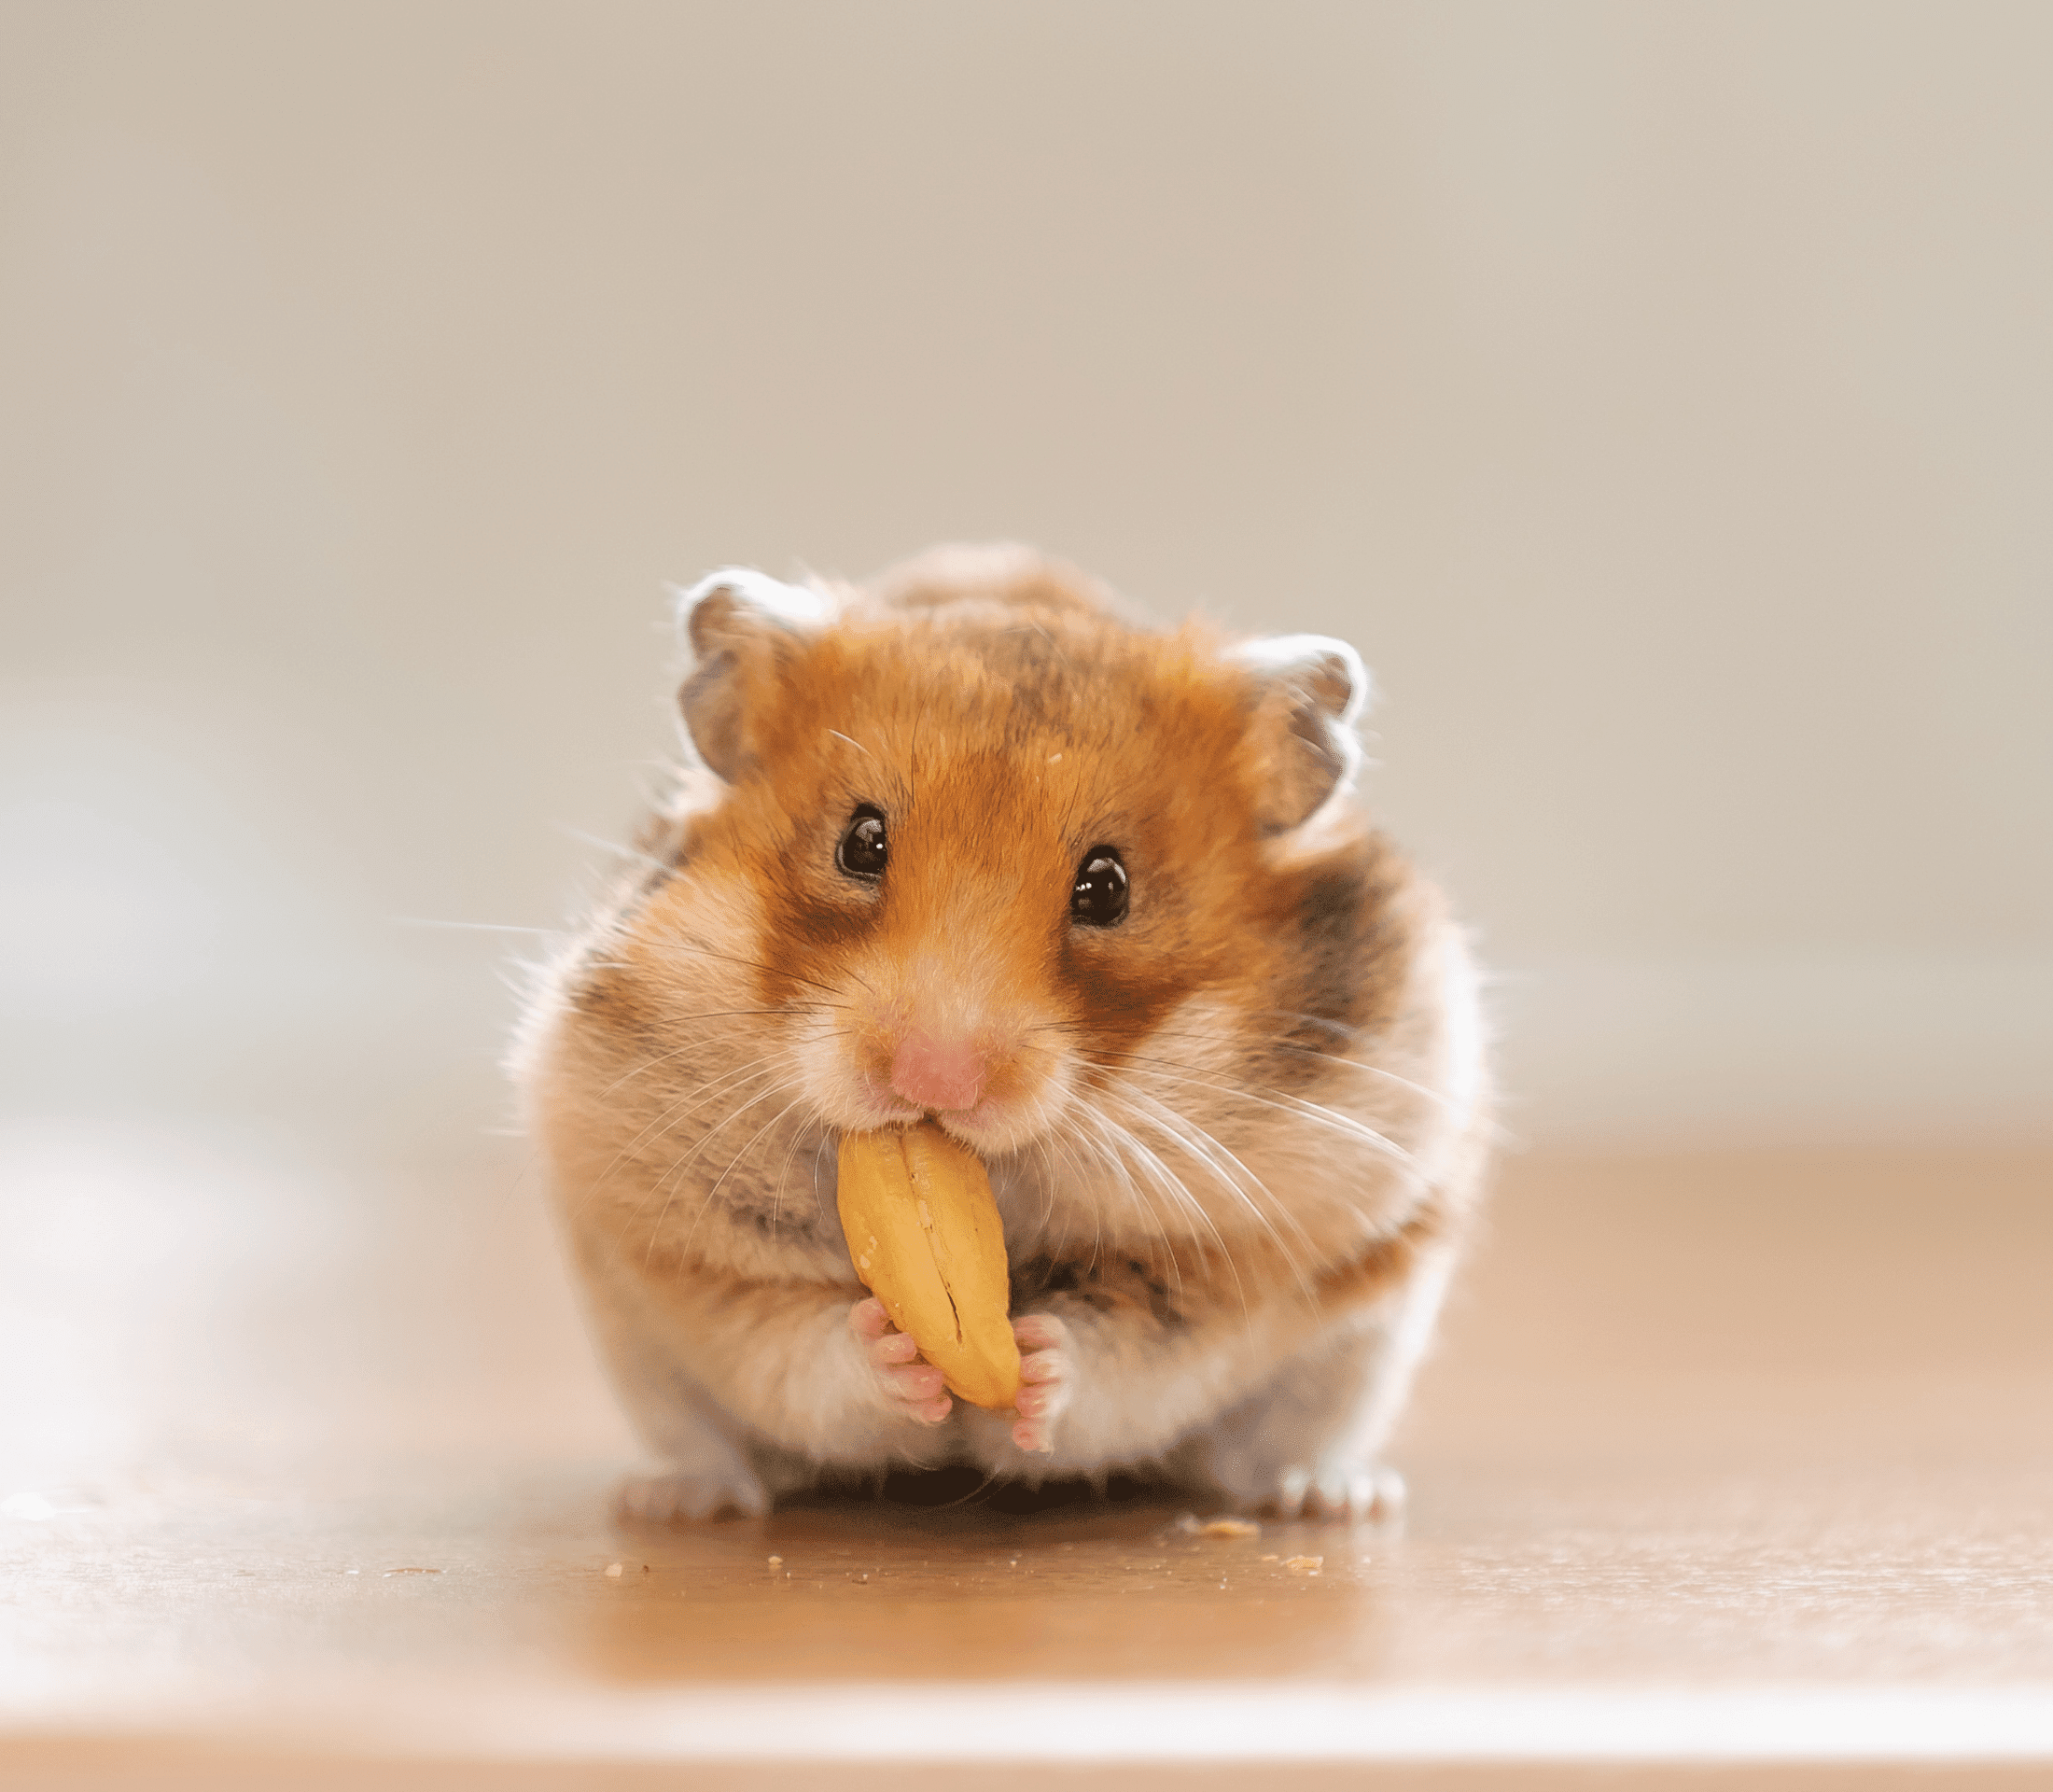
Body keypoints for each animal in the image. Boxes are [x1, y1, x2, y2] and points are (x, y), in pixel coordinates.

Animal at [513, 544, 1491, 1523]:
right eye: (859, 842)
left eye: (1108, 887)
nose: (933, 1083)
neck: (1003, 1183)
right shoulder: (680, 1241)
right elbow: (796, 1345)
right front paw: (895, 1353)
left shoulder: (1253, 1252)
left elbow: (1131, 1358)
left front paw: (1036, 1367)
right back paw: (677, 1501)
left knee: (1272, 1449)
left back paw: (1332, 1498)